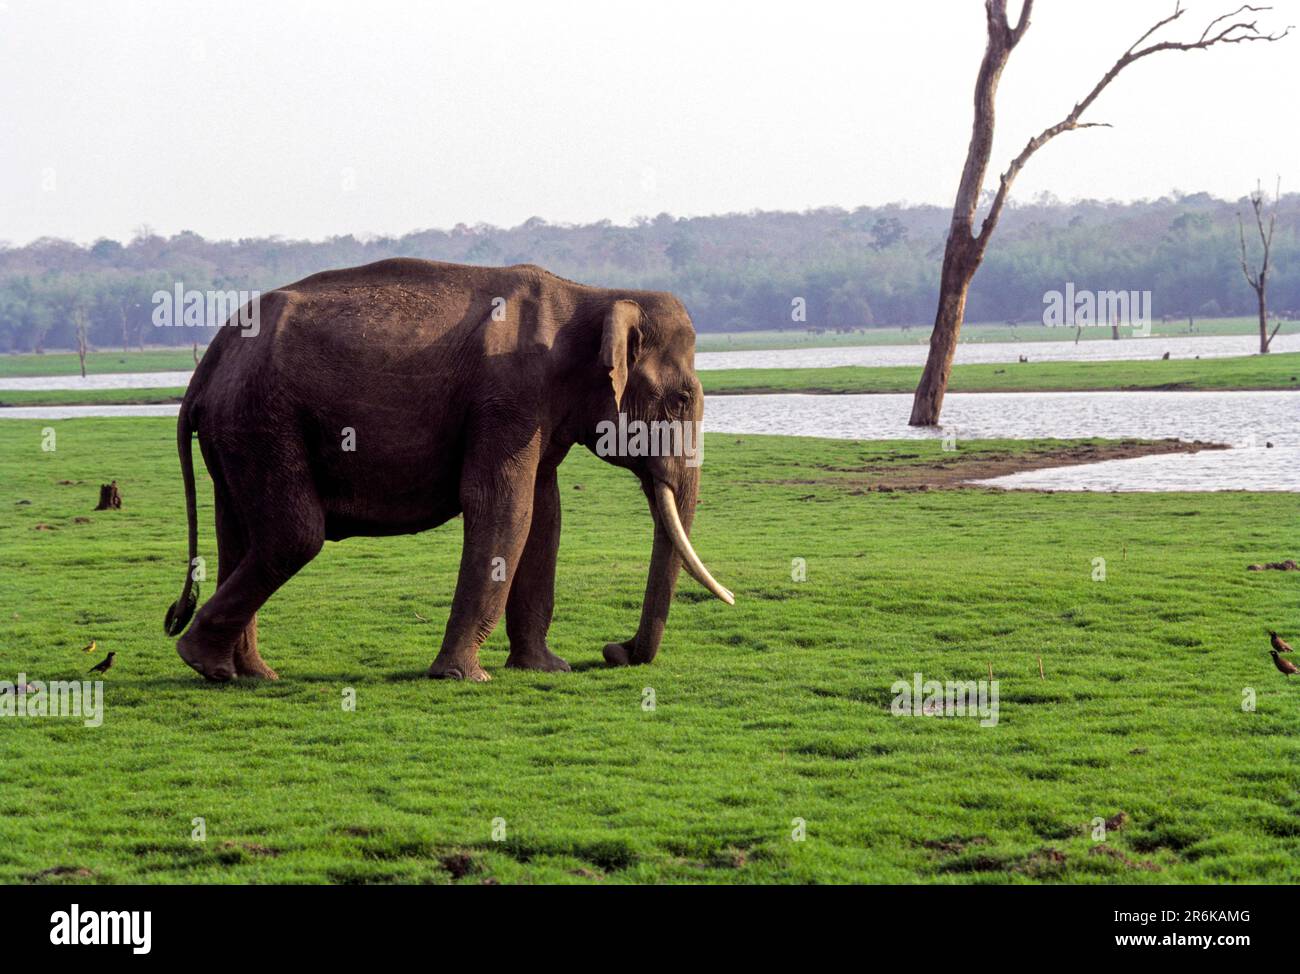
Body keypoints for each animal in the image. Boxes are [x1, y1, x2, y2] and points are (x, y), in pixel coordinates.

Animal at [163, 258, 732, 682]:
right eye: (682, 399)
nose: (615, 650)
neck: (589, 294)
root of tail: (208, 363)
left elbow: (544, 516)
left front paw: (545, 669)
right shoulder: (510, 396)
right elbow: (505, 509)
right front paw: (463, 676)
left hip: (237, 431)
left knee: (241, 534)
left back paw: (247, 673)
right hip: (262, 419)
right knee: (294, 534)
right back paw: (207, 663)